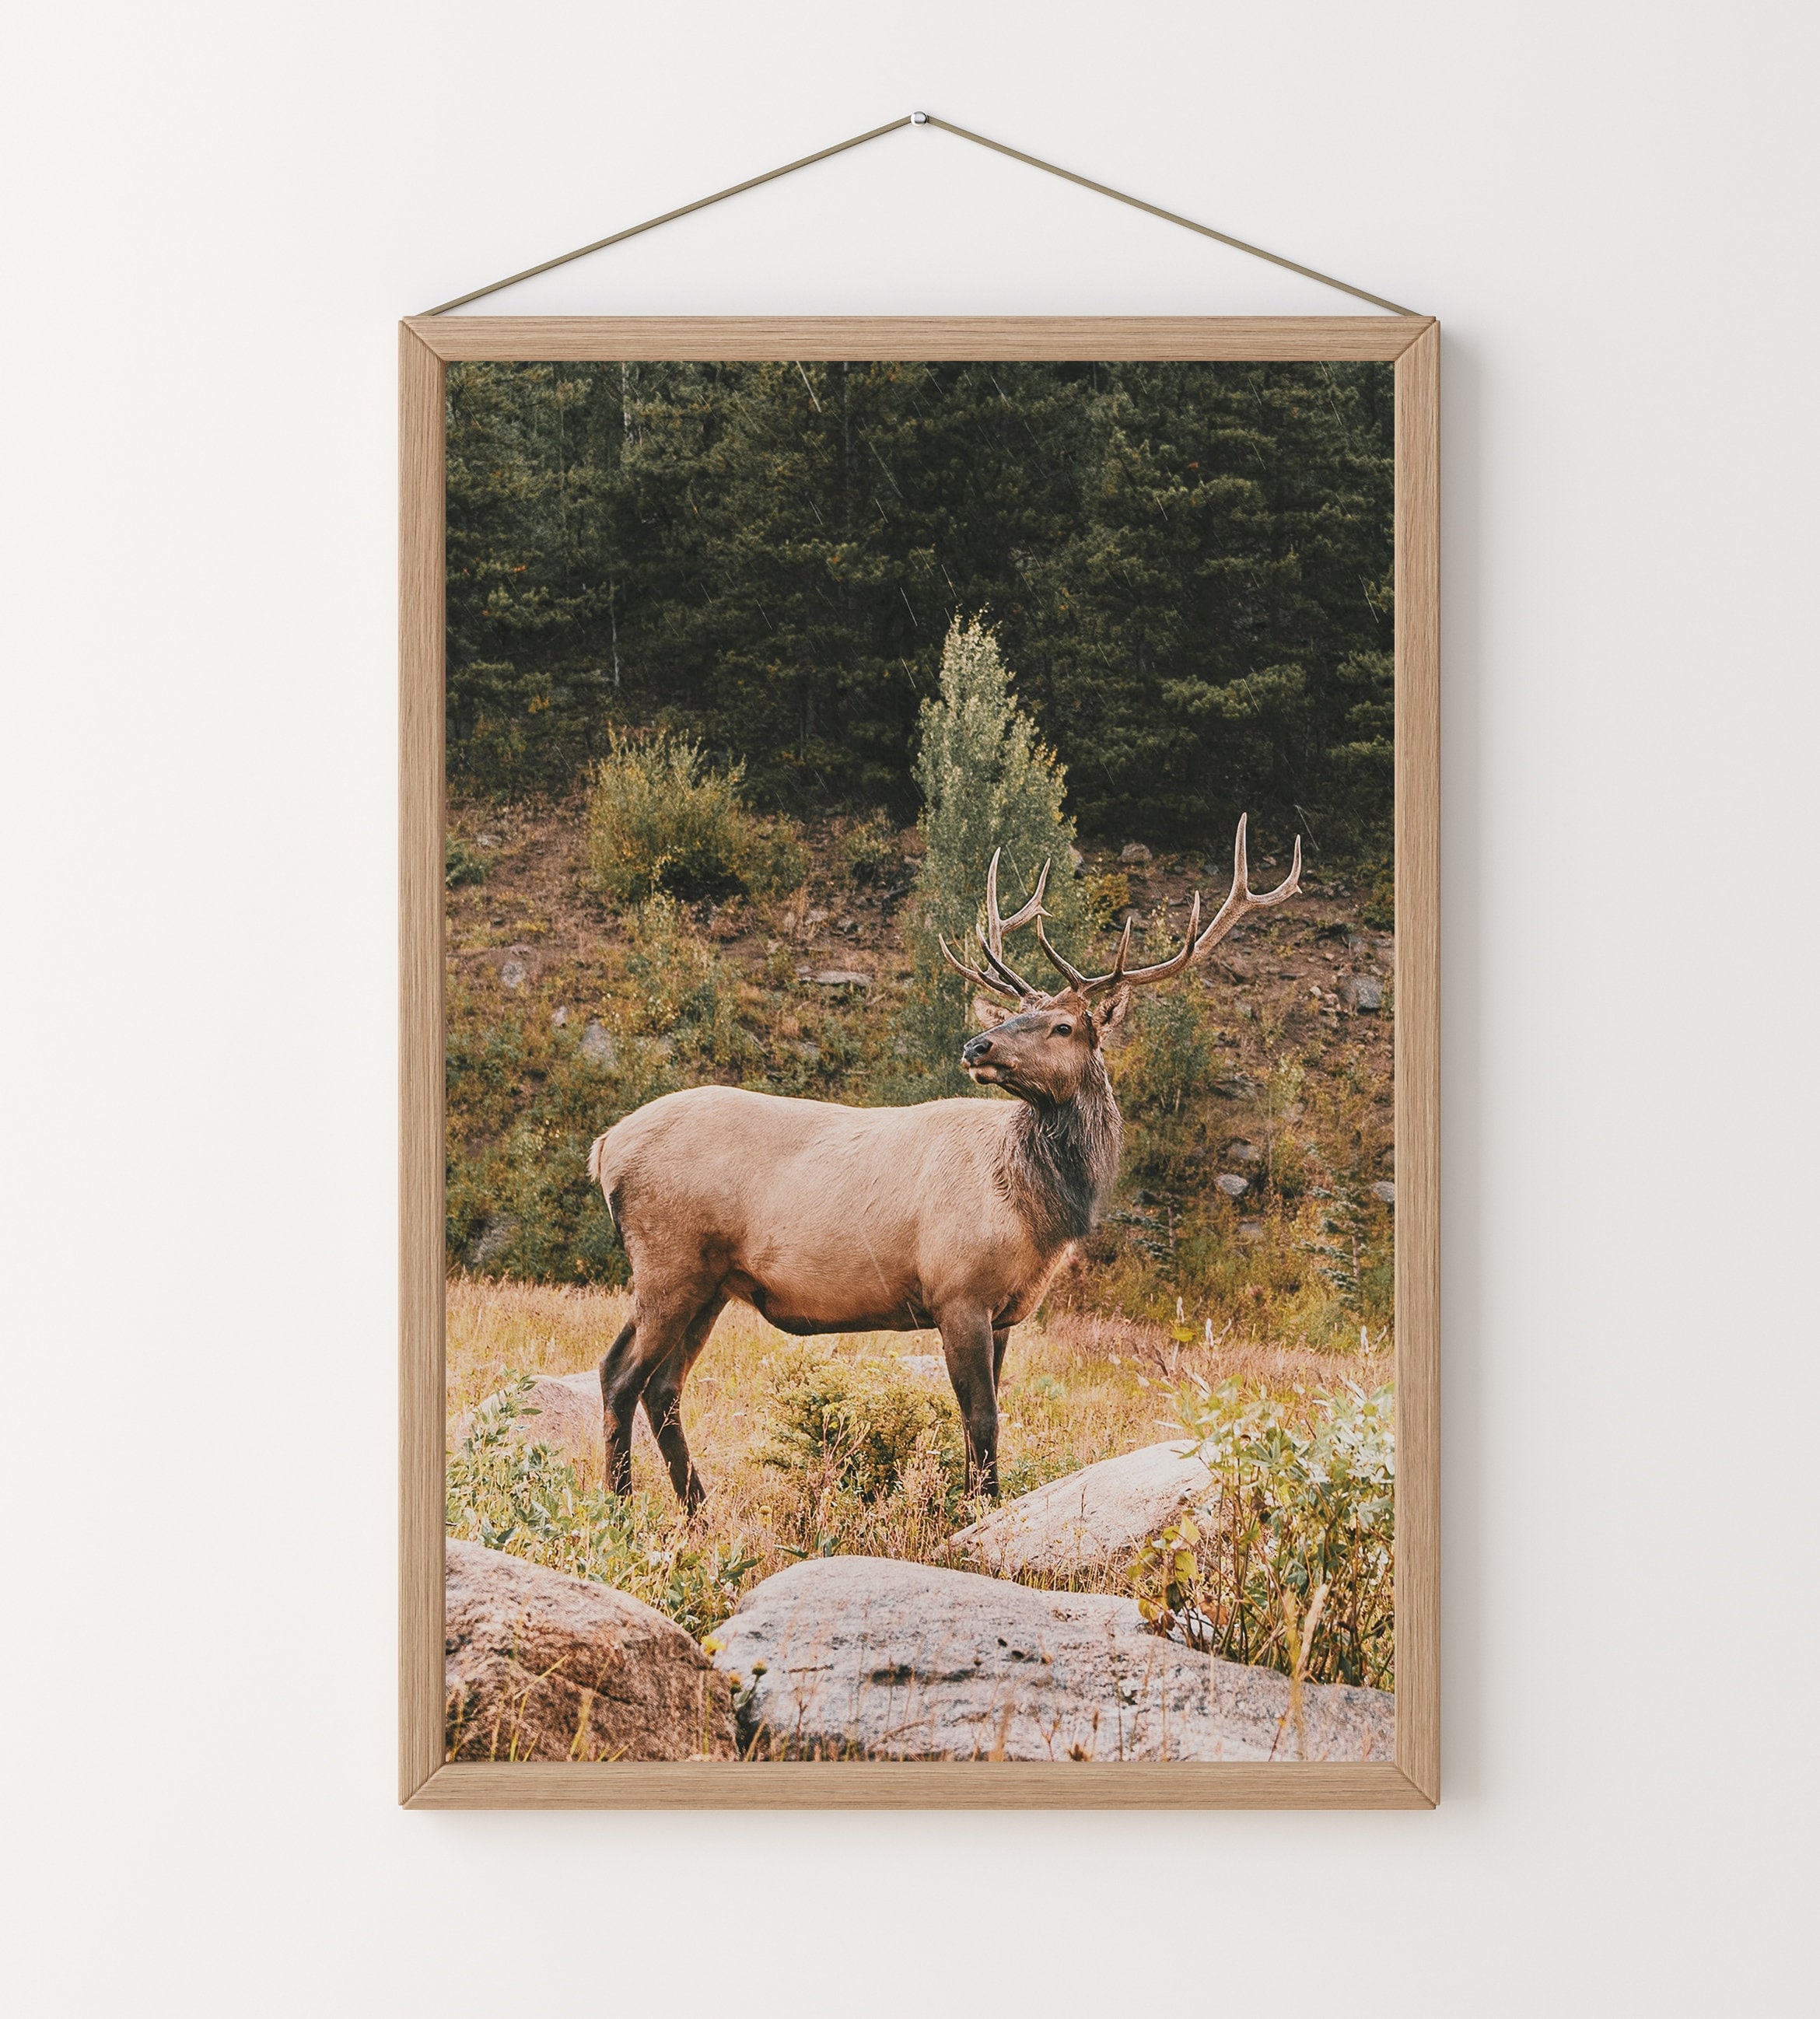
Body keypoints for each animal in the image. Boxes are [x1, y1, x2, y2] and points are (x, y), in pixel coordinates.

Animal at [586, 816, 1301, 1509]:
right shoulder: (958, 1289)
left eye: (1063, 1026)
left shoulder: (1004, 1310)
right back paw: (621, 1510)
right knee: (620, 1374)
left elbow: (975, 1420)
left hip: (712, 1281)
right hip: (669, 1259)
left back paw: (697, 1514)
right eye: (1018, 1013)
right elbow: (983, 1419)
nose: (977, 1044)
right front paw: (978, 1514)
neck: (1038, 1212)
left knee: (664, 1388)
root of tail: (605, 1148)